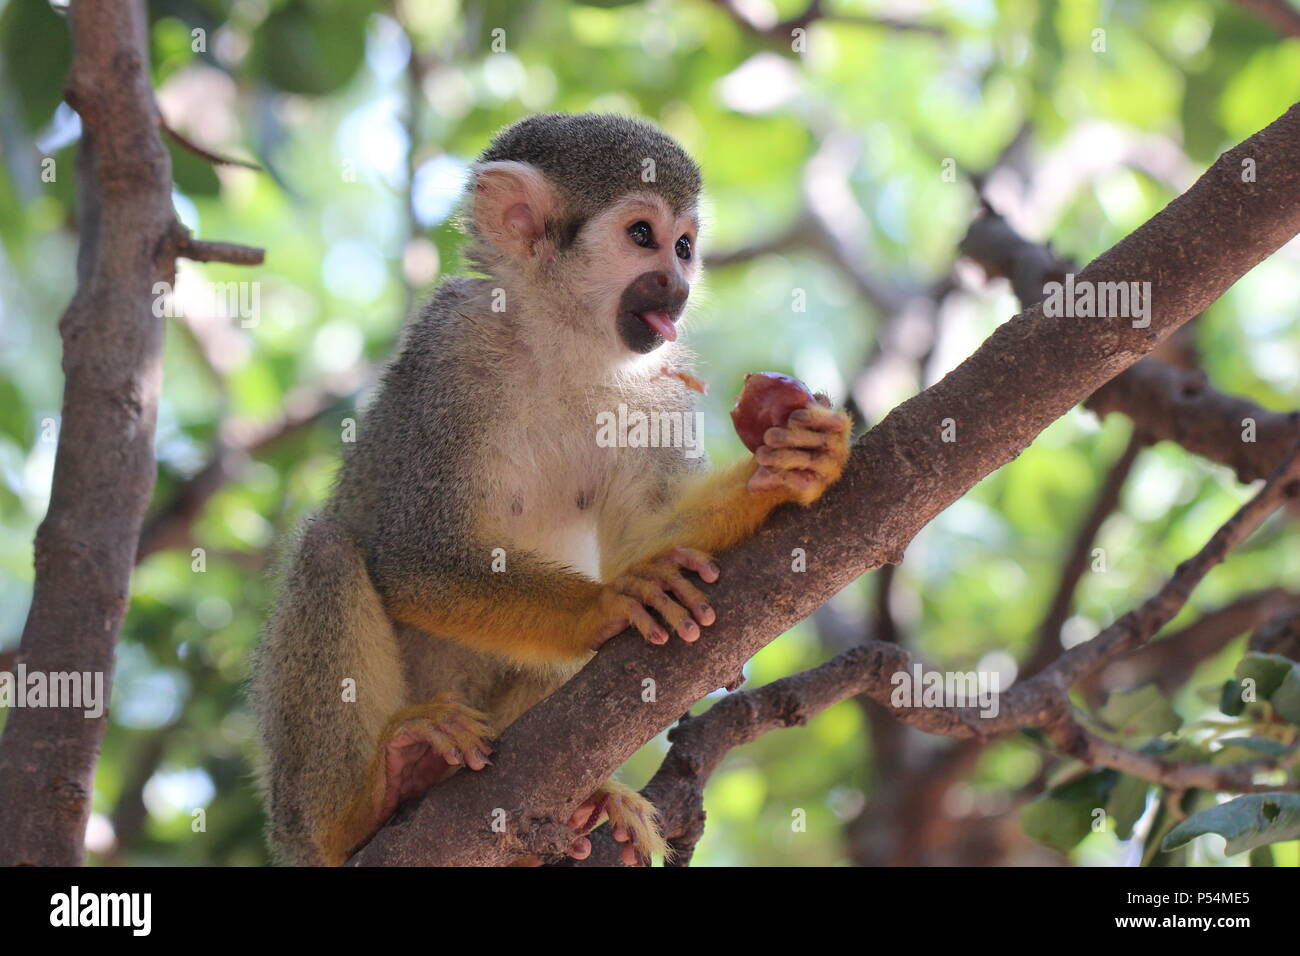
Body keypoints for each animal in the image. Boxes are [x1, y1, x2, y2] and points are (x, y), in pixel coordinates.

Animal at [250, 112, 851, 866]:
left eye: (685, 247)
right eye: (643, 236)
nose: (677, 286)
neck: (562, 342)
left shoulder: (656, 387)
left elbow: (653, 540)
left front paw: (795, 461)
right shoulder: (450, 350)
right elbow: (415, 557)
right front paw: (608, 603)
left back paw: (575, 803)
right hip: (293, 805)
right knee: (329, 551)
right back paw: (364, 803)